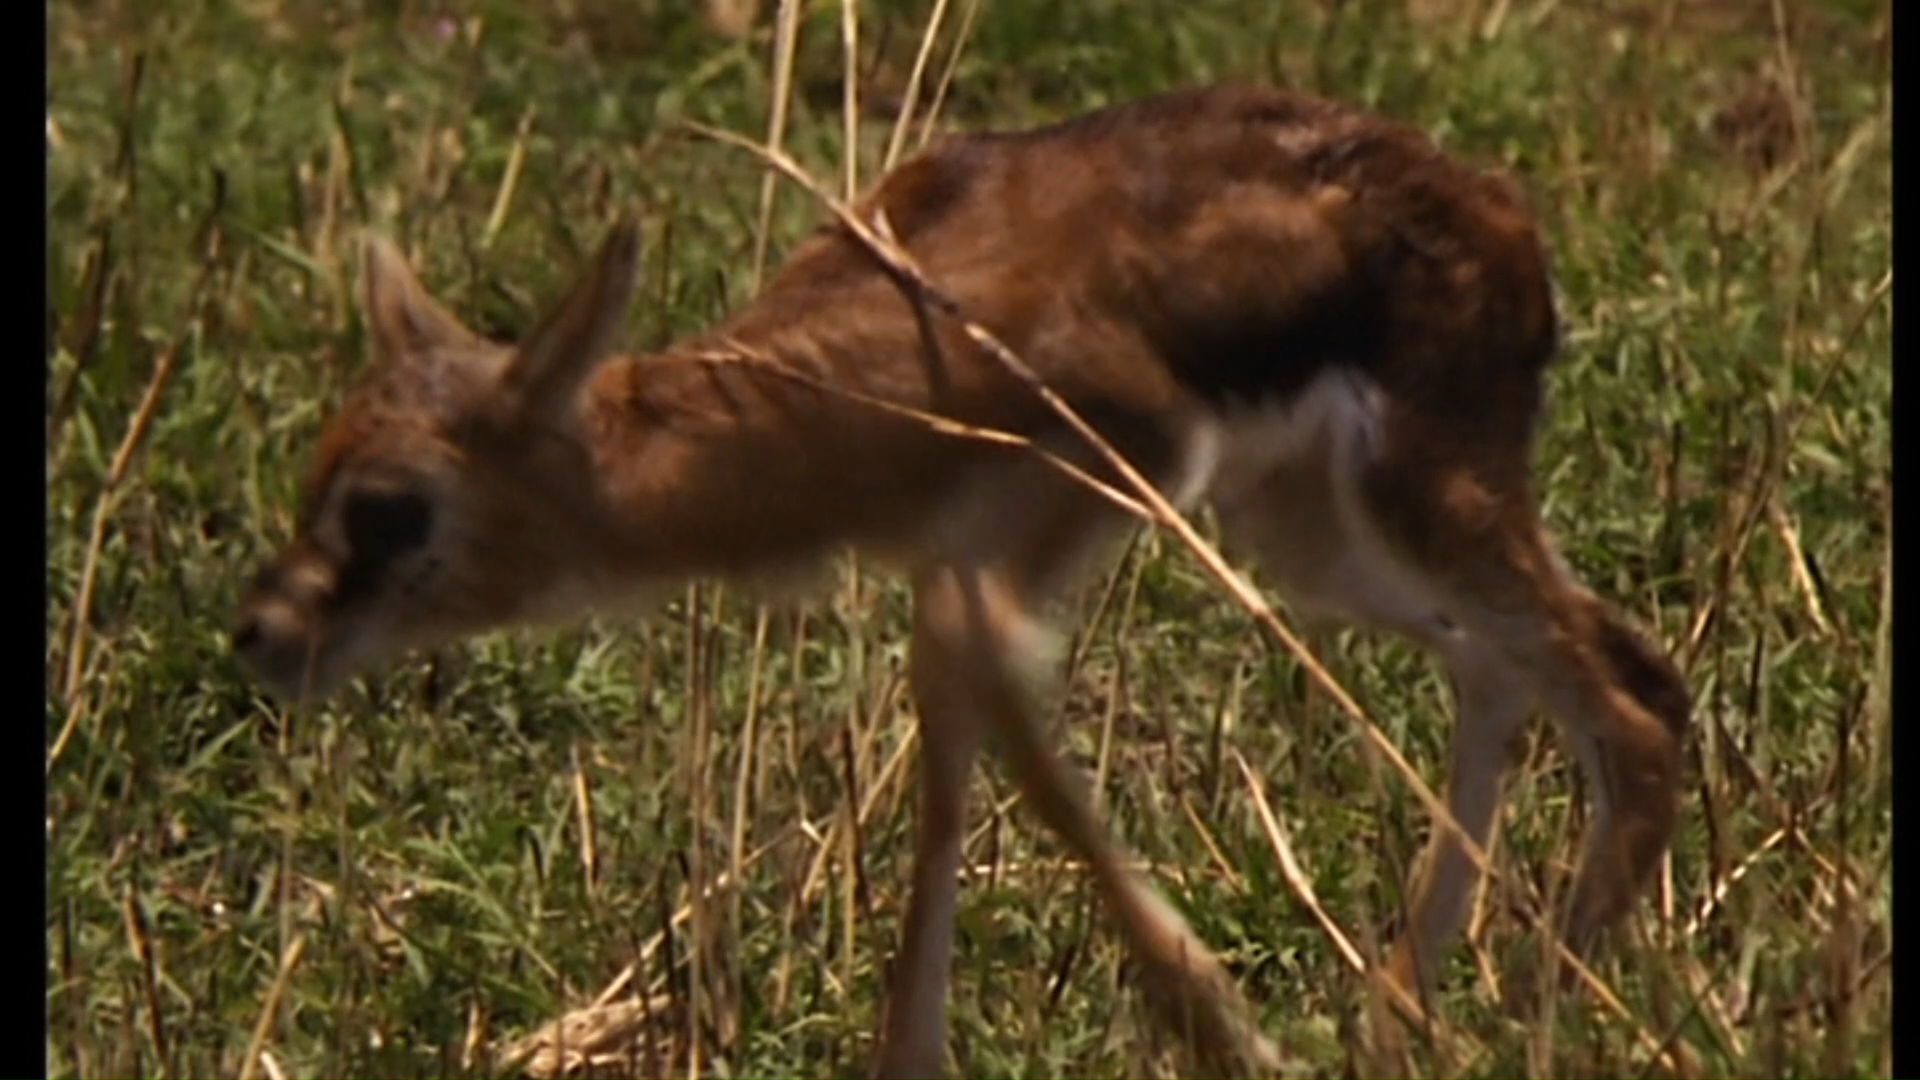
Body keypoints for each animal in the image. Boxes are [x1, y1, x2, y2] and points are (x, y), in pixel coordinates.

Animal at [232, 84, 1691, 1077]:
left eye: (389, 507)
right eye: (317, 461)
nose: (262, 633)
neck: (875, 367)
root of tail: (1505, 215)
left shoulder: (1079, 491)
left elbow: (999, 722)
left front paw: (1230, 1035)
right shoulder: (963, 558)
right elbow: (950, 764)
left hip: (1418, 497)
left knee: (1632, 690)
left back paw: (1530, 1008)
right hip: (1310, 534)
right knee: (1509, 672)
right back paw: (1404, 1014)